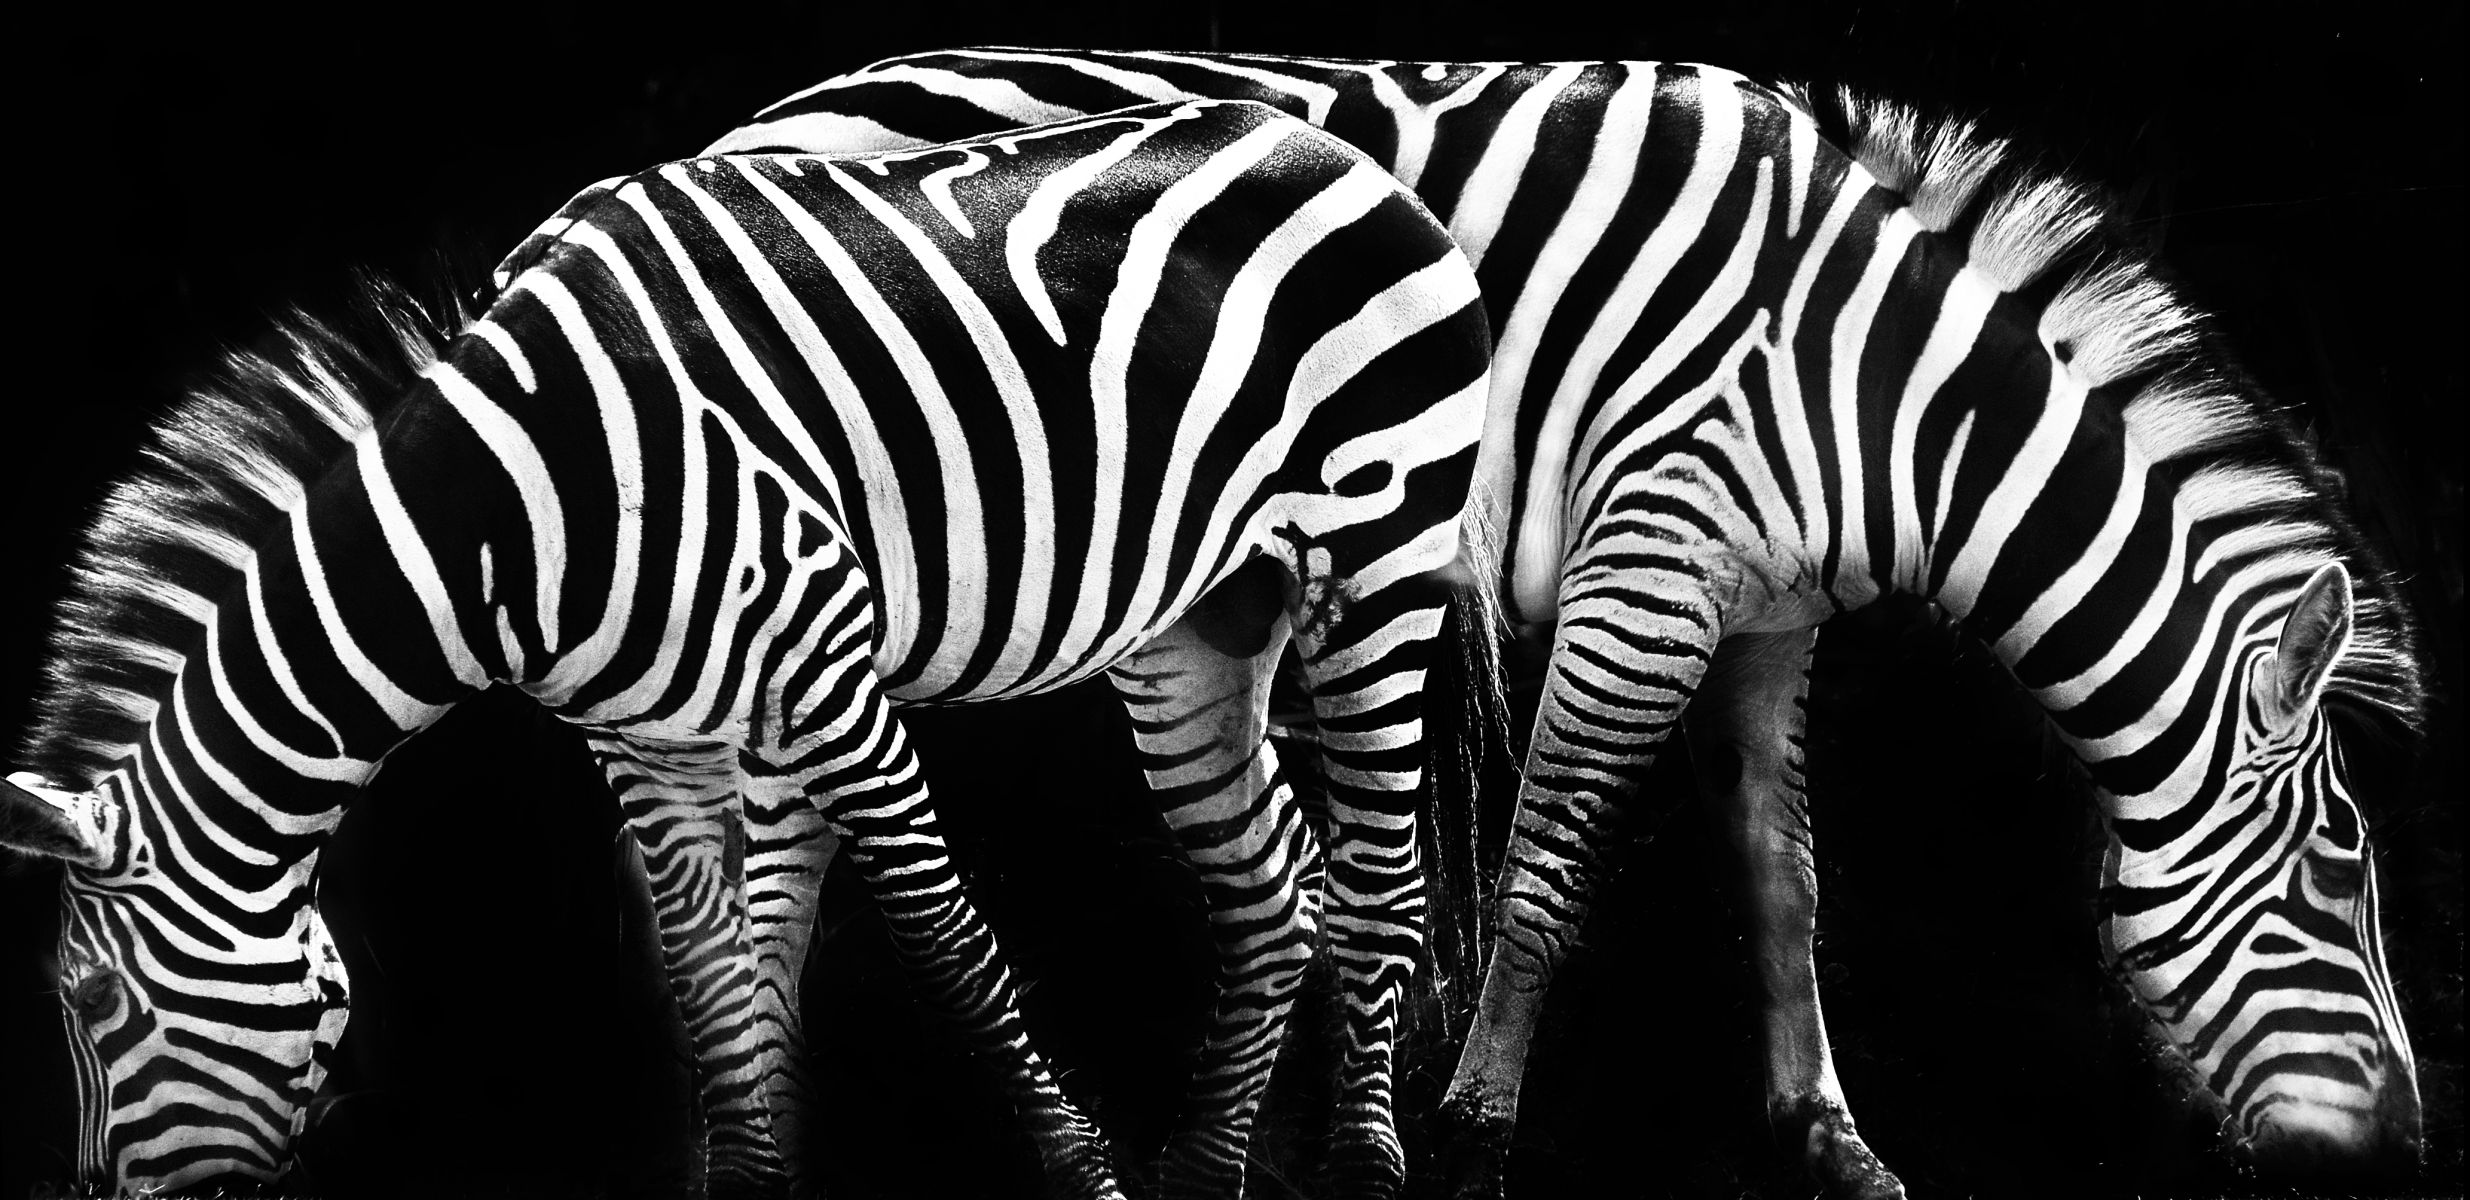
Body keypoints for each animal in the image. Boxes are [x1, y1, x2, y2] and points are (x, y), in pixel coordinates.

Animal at [0, 97, 1500, 1198]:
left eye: (94, 1005)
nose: (91, 1199)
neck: (505, 510)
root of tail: (1331, 144)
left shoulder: (835, 676)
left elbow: (949, 945)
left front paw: (1081, 1177)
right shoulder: (638, 738)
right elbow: (709, 969)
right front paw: (751, 1177)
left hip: (1382, 556)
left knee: (1380, 876)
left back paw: (1363, 1166)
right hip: (1198, 624)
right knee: (1272, 883)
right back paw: (1203, 1167)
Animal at [698, 49, 2431, 1195]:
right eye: (2342, 872)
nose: (2411, 1148)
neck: (1886, 396)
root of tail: (755, 125)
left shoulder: (1768, 613)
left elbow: (1784, 873)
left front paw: (1831, 1139)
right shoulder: (1649, 553)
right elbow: (1546, 858)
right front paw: (1474, 1122)